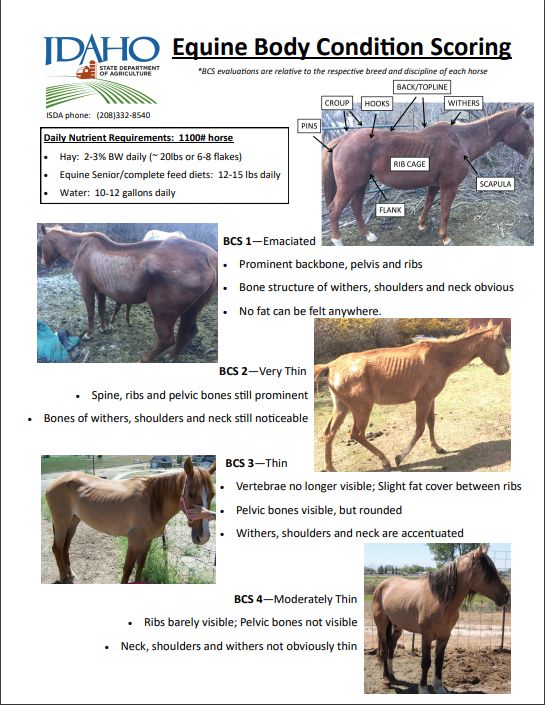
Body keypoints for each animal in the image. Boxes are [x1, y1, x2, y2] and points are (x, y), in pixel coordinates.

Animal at [39, 225, 217, 362]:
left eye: (41, 243)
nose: (42, 264)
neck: (81, 248)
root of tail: (209, 257)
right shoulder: (100, 290)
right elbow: (101, 309)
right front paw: (104, 327)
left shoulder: (86, 289)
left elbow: (91, 312)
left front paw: (89, 334)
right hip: (192, 309)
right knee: (188, 332)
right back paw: (171, 357)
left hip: (163, 311)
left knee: (166, 339)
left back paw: (144, 359)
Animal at [45, 457, 216, 584]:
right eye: (191, 493)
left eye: (213, 494)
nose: (203, 537)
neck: (151, 501)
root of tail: (55, 482)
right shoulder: (134, 541)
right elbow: (127, 569)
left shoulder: (147, 540)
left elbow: (140, 565)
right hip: (62, 522)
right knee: (57, 548)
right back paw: (64, 577)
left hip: (73, 522)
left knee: (65, 547)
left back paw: (71, 574)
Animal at [314, 322, 509, 471]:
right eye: (502, 345)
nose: (506, 369)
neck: (440, 358)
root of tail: (331, 365)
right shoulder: (422, 400)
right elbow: (420, 428)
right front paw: (400, 457)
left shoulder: (430, 399)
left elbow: (431, 422)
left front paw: (437, 447)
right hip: (362, 409)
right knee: (357, 434)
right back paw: (385, 461)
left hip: (342, 407)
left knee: (329, 434)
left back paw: (330, 467)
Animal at [323, 106, 533, 246]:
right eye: (525, 127)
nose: (532, 148)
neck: (460, 140)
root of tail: (342, 139)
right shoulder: (449, 185)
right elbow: (445, 212)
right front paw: (445, 237)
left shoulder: (435, 184)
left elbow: (428, 203)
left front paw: (422, 225)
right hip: (350, 185)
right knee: (334, 210)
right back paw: (337, 241)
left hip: (361, 184)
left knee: (356, 208)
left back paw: (368, 235)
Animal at [372, 546, 510, 693]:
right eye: (487, 572)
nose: (507, 596)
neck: (440, 600)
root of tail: (382, 585)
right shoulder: (426, 636)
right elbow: (426, 662)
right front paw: (423, 688)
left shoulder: (444, 636)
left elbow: (439, 661)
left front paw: (439, 688)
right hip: (381, 625)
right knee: (385, 648)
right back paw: (386, 679)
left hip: (398, 626)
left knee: (391, 646)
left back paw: (392, 676)